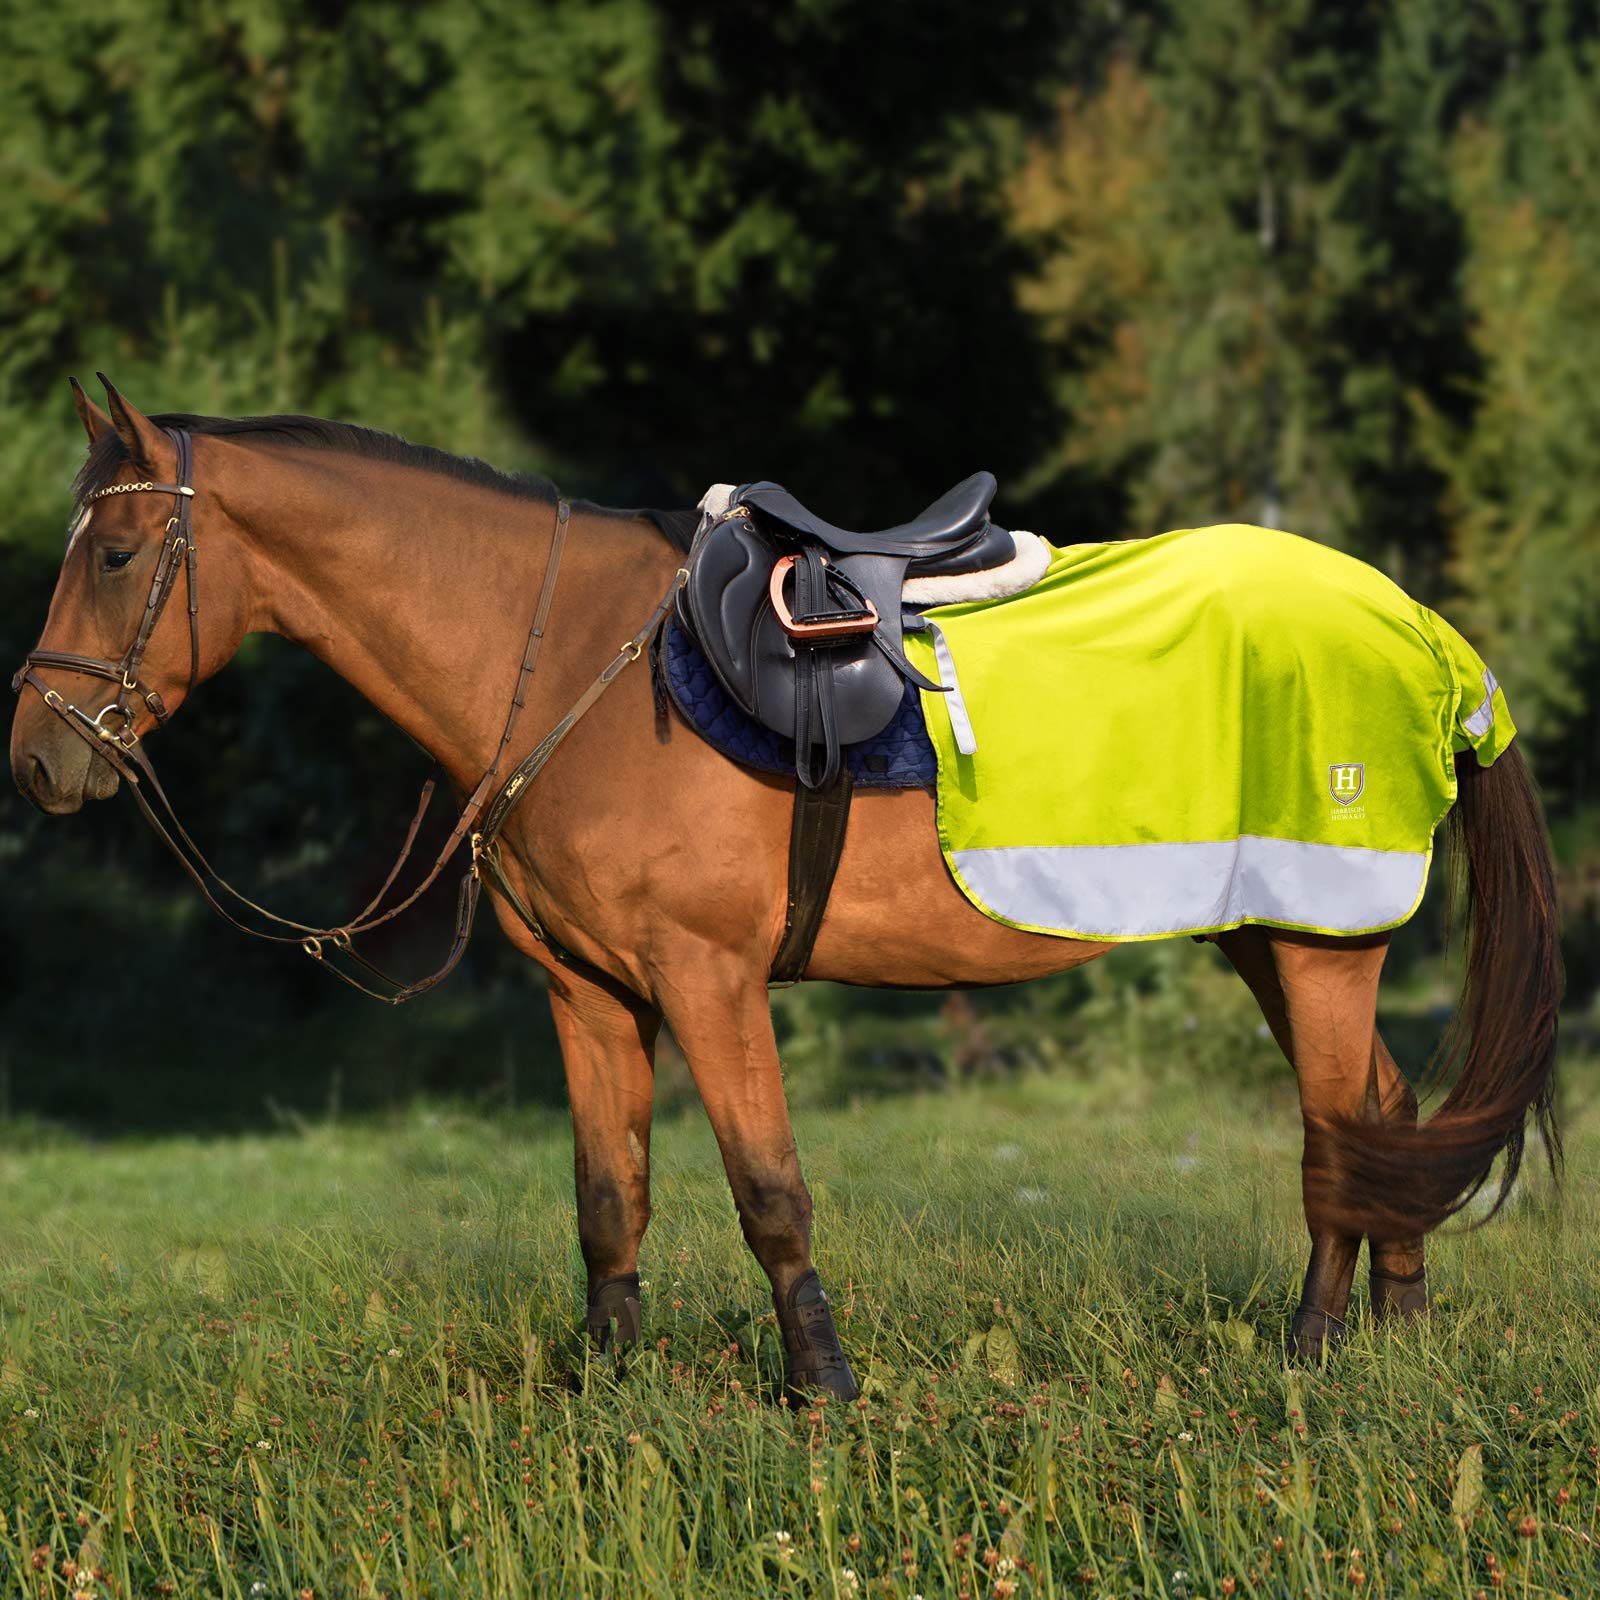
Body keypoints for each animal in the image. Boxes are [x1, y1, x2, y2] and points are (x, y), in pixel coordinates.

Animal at [10, 379, 1562, 1402]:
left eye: (119, 553)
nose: (37, 756)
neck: (564, 661)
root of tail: (1417, 629)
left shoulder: (709, 980)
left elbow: (769, 1191)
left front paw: (821, 1387)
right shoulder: (591, 995)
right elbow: (609, 1195)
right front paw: (611, 1389)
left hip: (1316, 937)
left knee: (1339, 1131)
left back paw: (1312, 1353)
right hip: (1274, 934)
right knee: (1386, 1116)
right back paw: (1396, 1339)